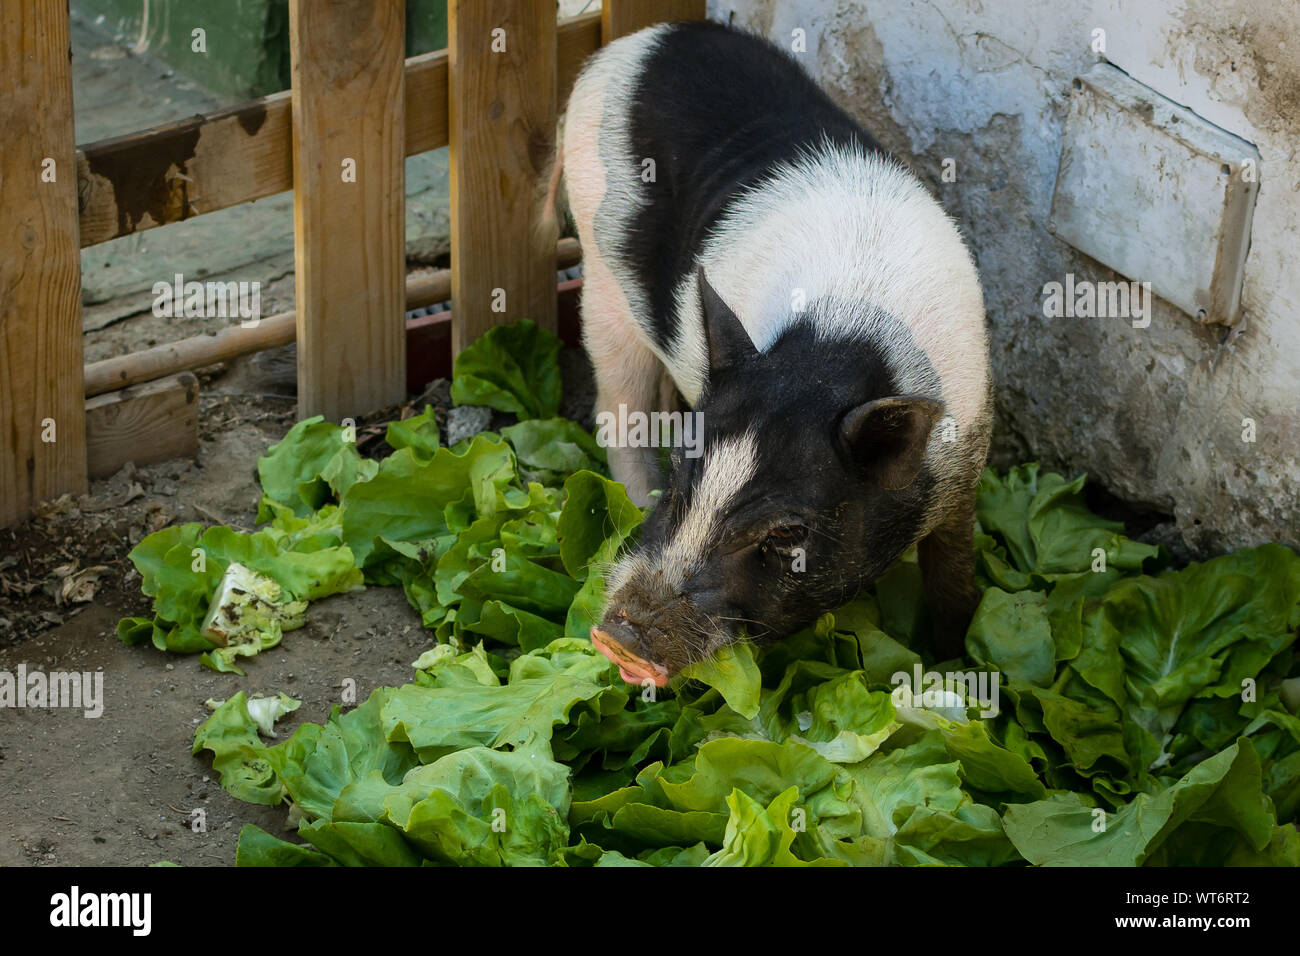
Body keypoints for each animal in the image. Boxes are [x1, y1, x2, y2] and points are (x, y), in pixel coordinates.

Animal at [552, 20, 992, 685]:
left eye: (788, 535)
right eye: (683, 477)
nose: (616, 640)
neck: (835, 338)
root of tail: (639, 39)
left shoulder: (966, 464)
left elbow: (954, 580)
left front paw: (954, 662)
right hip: (601, 274)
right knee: (617, 405)